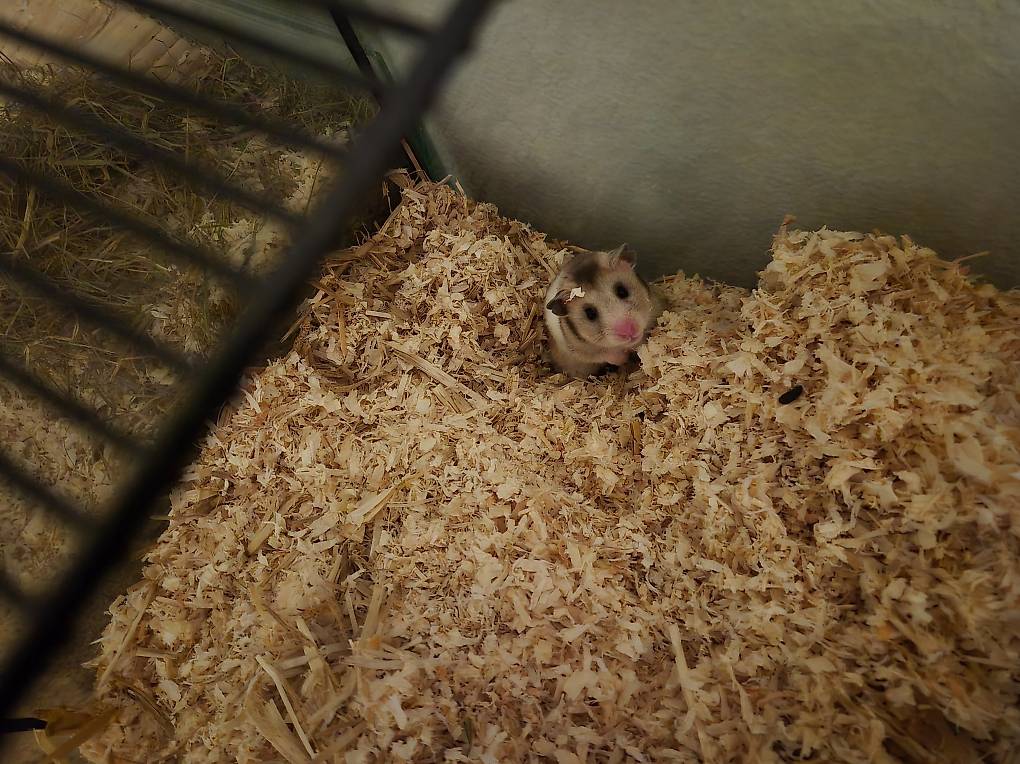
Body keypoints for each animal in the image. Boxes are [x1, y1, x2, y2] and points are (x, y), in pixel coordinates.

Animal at [543, 244, 664, 379]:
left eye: (622, 291)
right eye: (590, 313)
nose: (630, 331)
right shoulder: (580, 351)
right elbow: (604, 354)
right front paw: (624, 358)